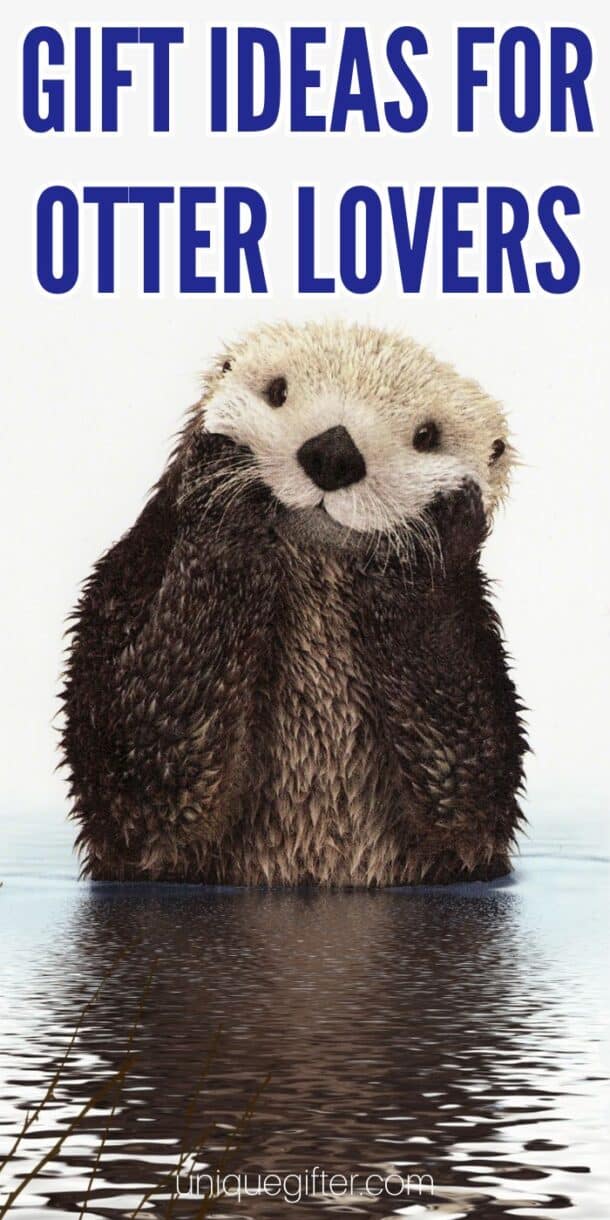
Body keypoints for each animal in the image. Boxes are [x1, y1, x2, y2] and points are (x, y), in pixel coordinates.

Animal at [62, 320, 527, 885]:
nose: (334, 453)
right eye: (277, 391)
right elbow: (142, 766)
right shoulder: (127, 583)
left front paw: (433, 532)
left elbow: (469, 785)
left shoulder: (477, 653)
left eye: (427, 437)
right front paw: (224, 480)